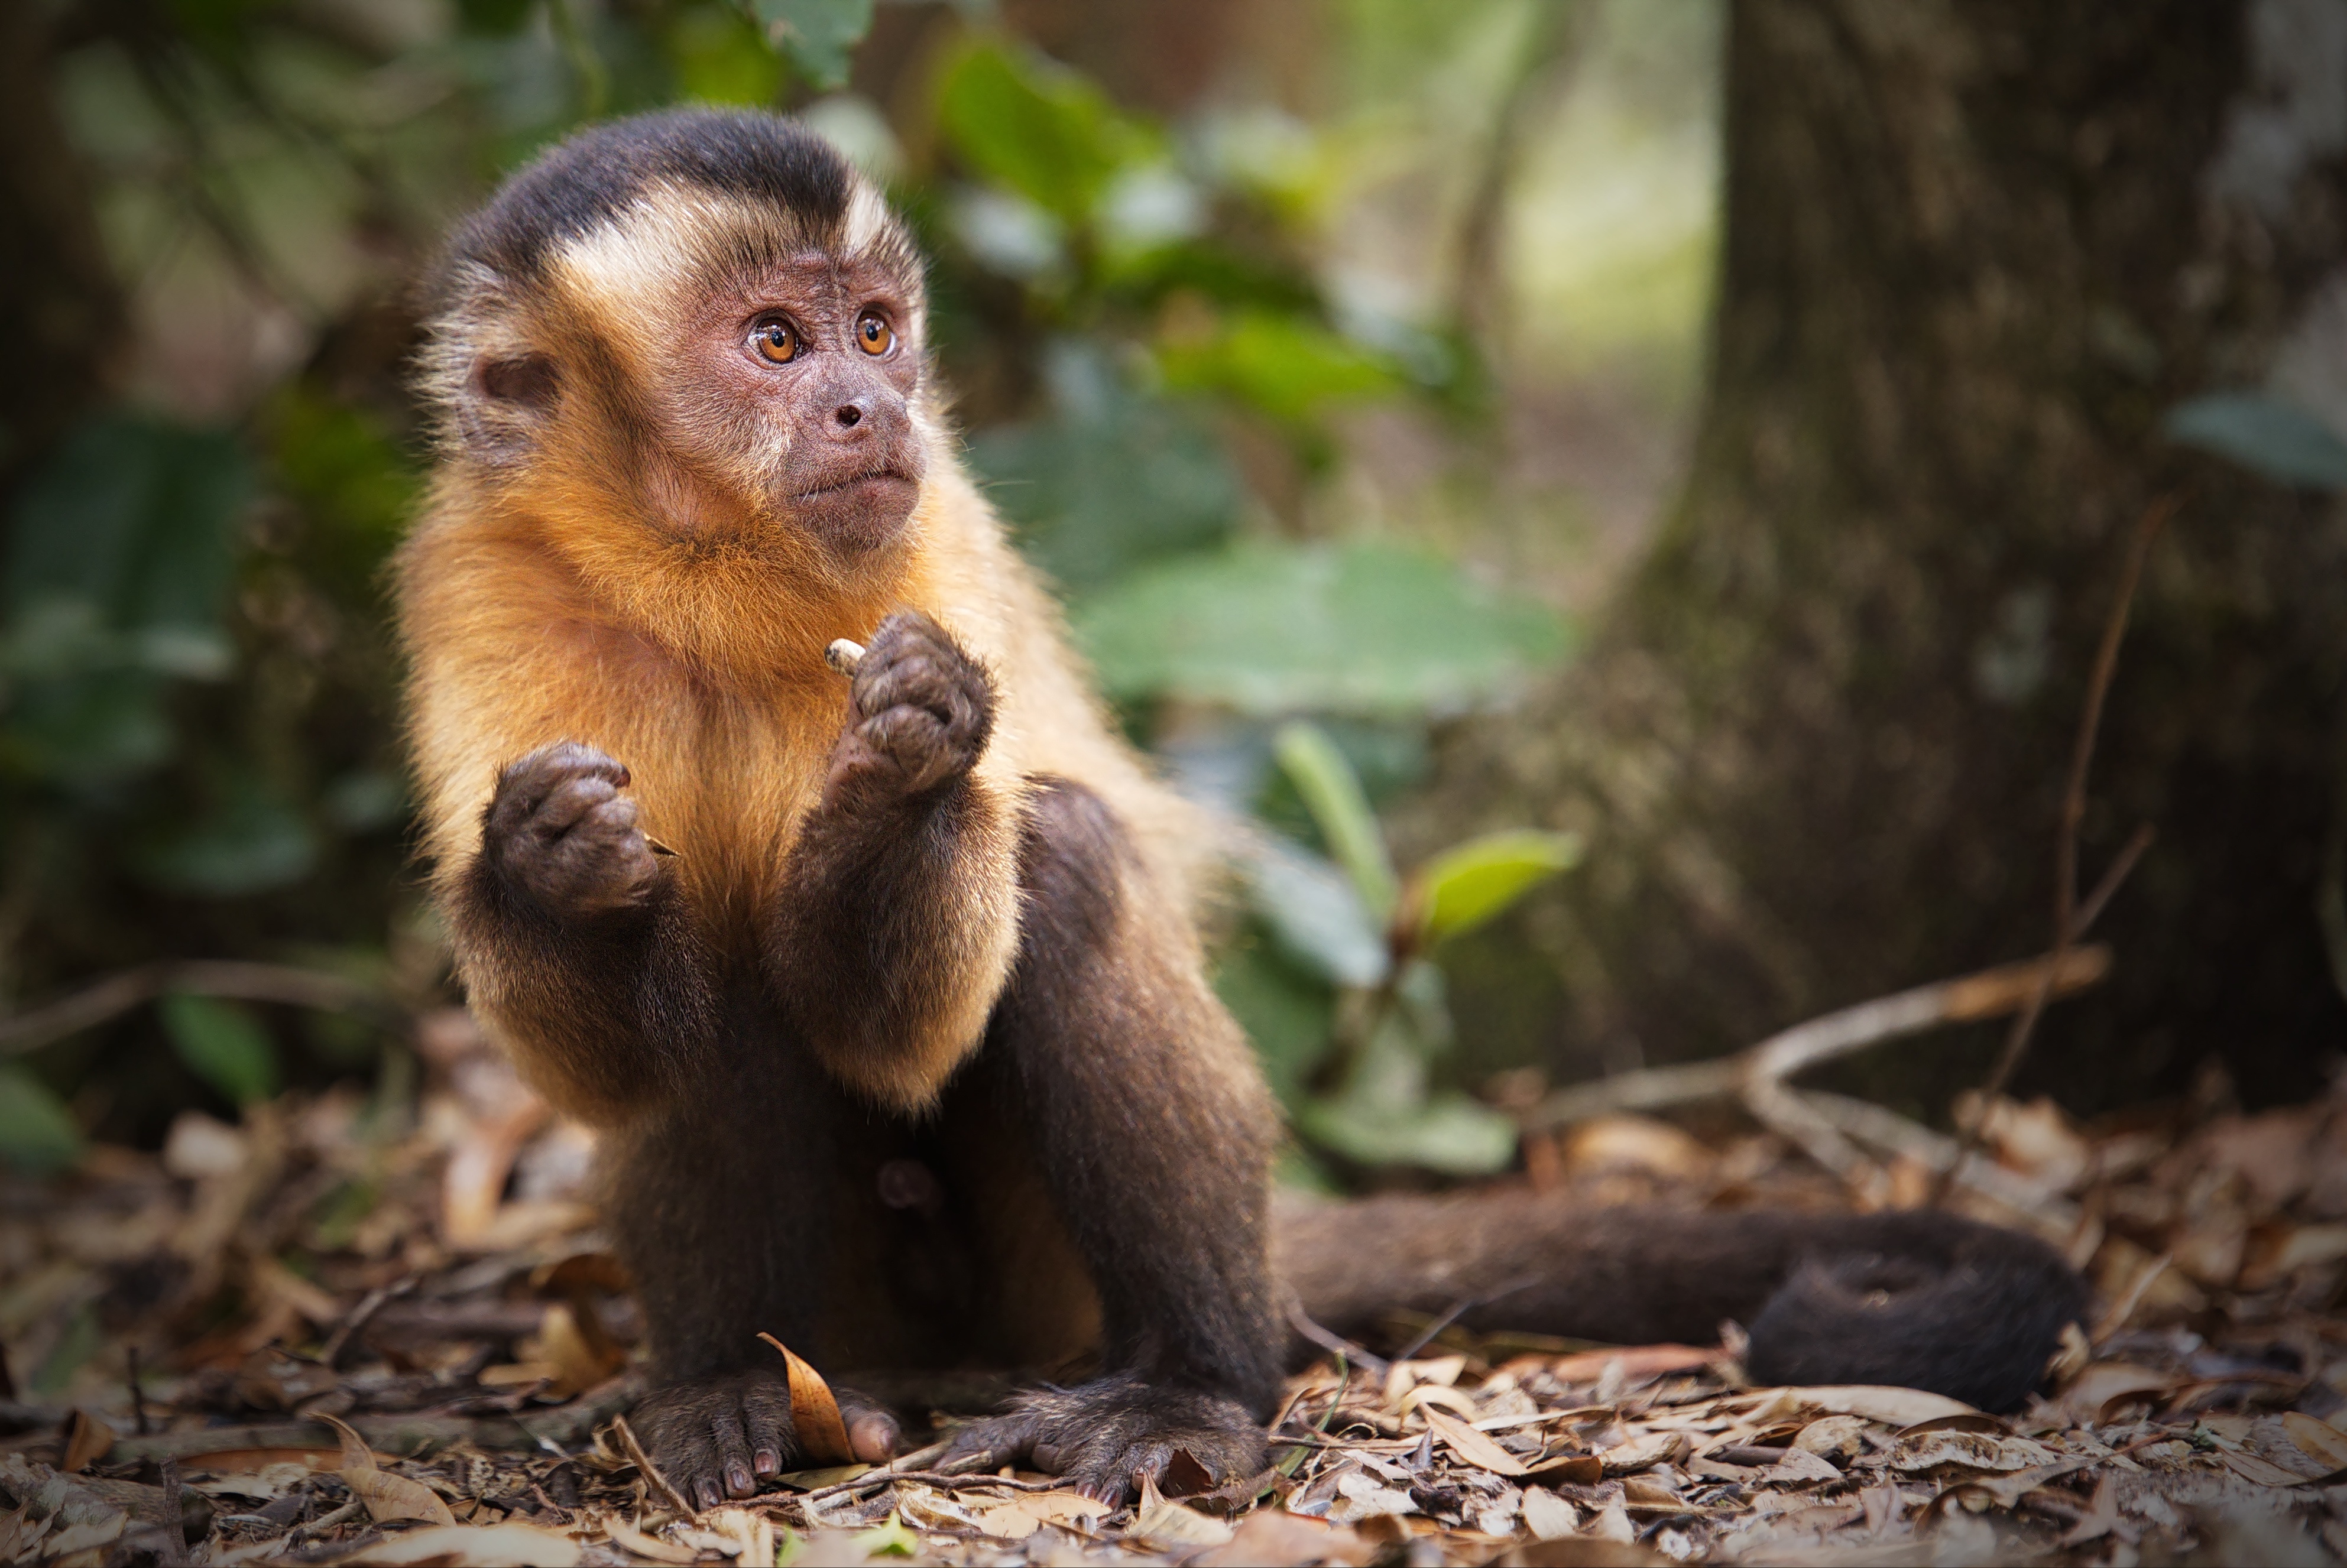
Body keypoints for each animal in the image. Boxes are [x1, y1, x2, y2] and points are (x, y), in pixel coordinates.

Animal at [396, 107, 2086, 1511]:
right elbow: (604, 1054)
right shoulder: (481, 585)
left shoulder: (931, 540)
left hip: (1047, 1295)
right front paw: (551, 865)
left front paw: (908, 761)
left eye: (871, 330)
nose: (875, 406)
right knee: (718, 995)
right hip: (859, 1313)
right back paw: (734, 1385)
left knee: (1065, 866)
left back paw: (1194, 1389)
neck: (705, 574)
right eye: (773, 341)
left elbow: (902, 1025)